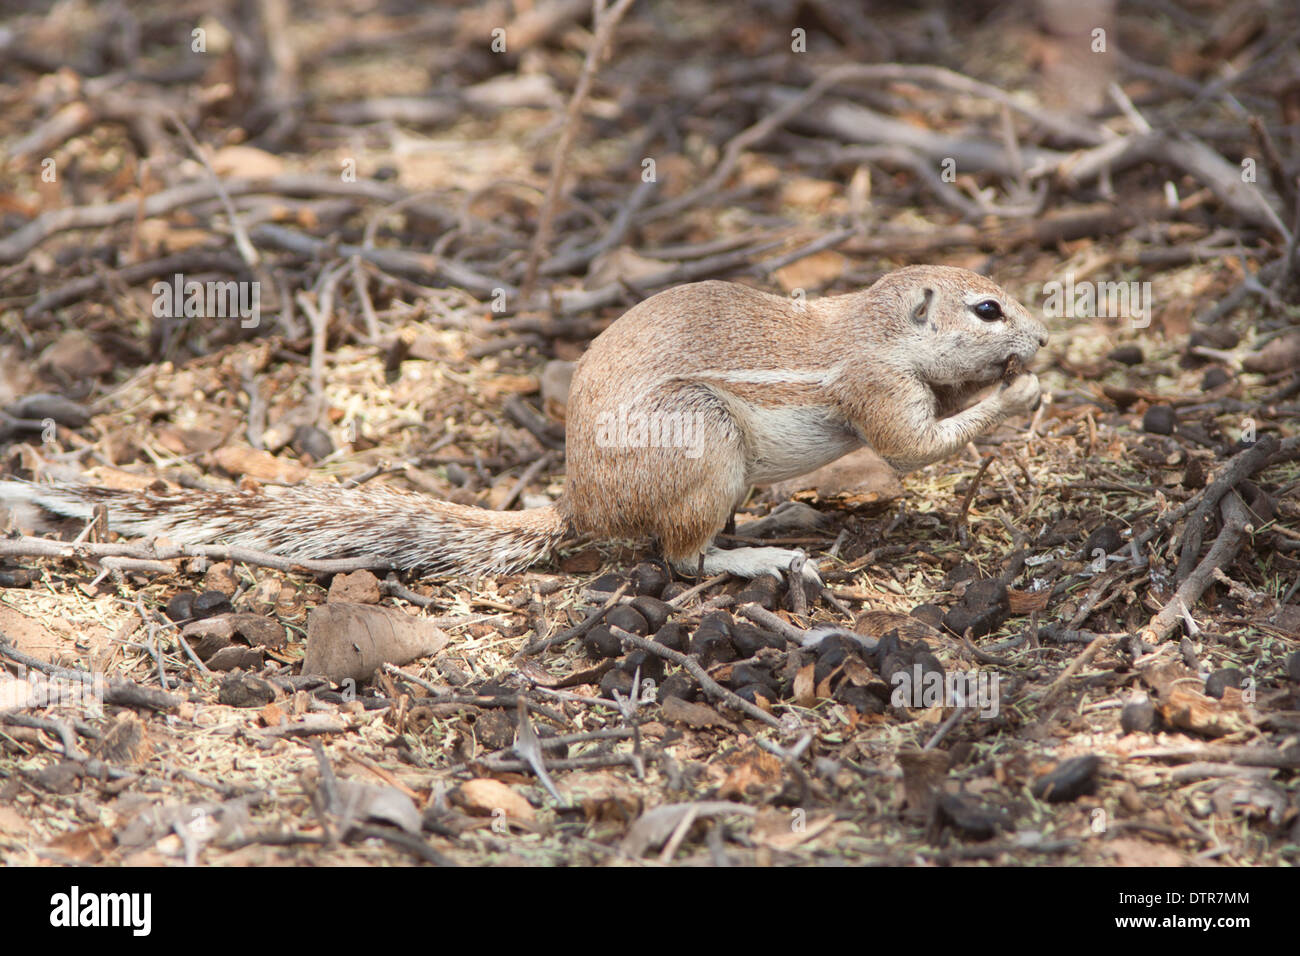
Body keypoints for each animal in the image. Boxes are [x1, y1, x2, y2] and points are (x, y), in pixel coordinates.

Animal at [2, 265, 1047, 584]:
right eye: (987, 307)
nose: (1037, 334)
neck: (872, 326)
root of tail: (579, 505)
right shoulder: (875, 387)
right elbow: (914, 447)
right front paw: (1021, 391)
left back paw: (781, 517)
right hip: (700, 440)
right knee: (681, 559)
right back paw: (765, 557)